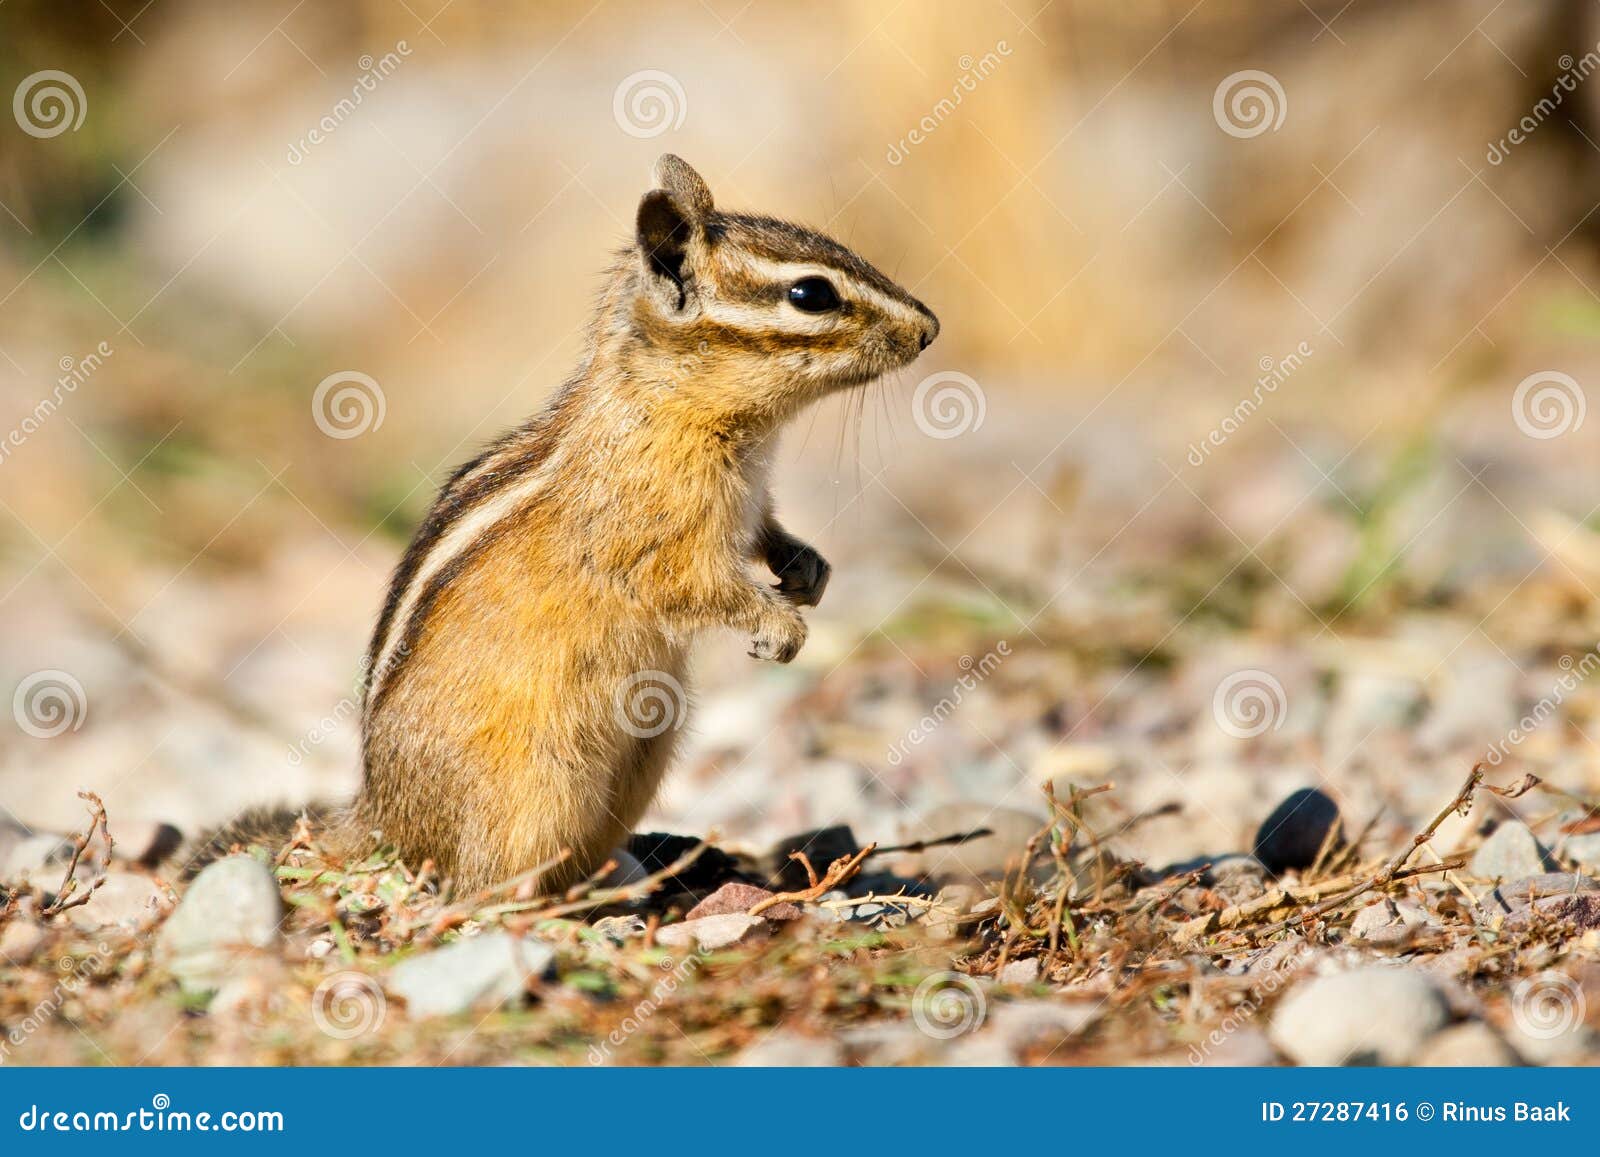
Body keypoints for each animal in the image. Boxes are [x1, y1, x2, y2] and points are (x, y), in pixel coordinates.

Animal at [202, 155, 937, 893]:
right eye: (810, 294)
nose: (930, 327)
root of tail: (380, 817)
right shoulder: (655, 538)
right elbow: (692, 585)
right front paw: (780, 627)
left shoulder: (753, 505)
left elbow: (769, 534)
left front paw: (807, 572)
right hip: (534, 789)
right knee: (480, 882)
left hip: (645, 758)